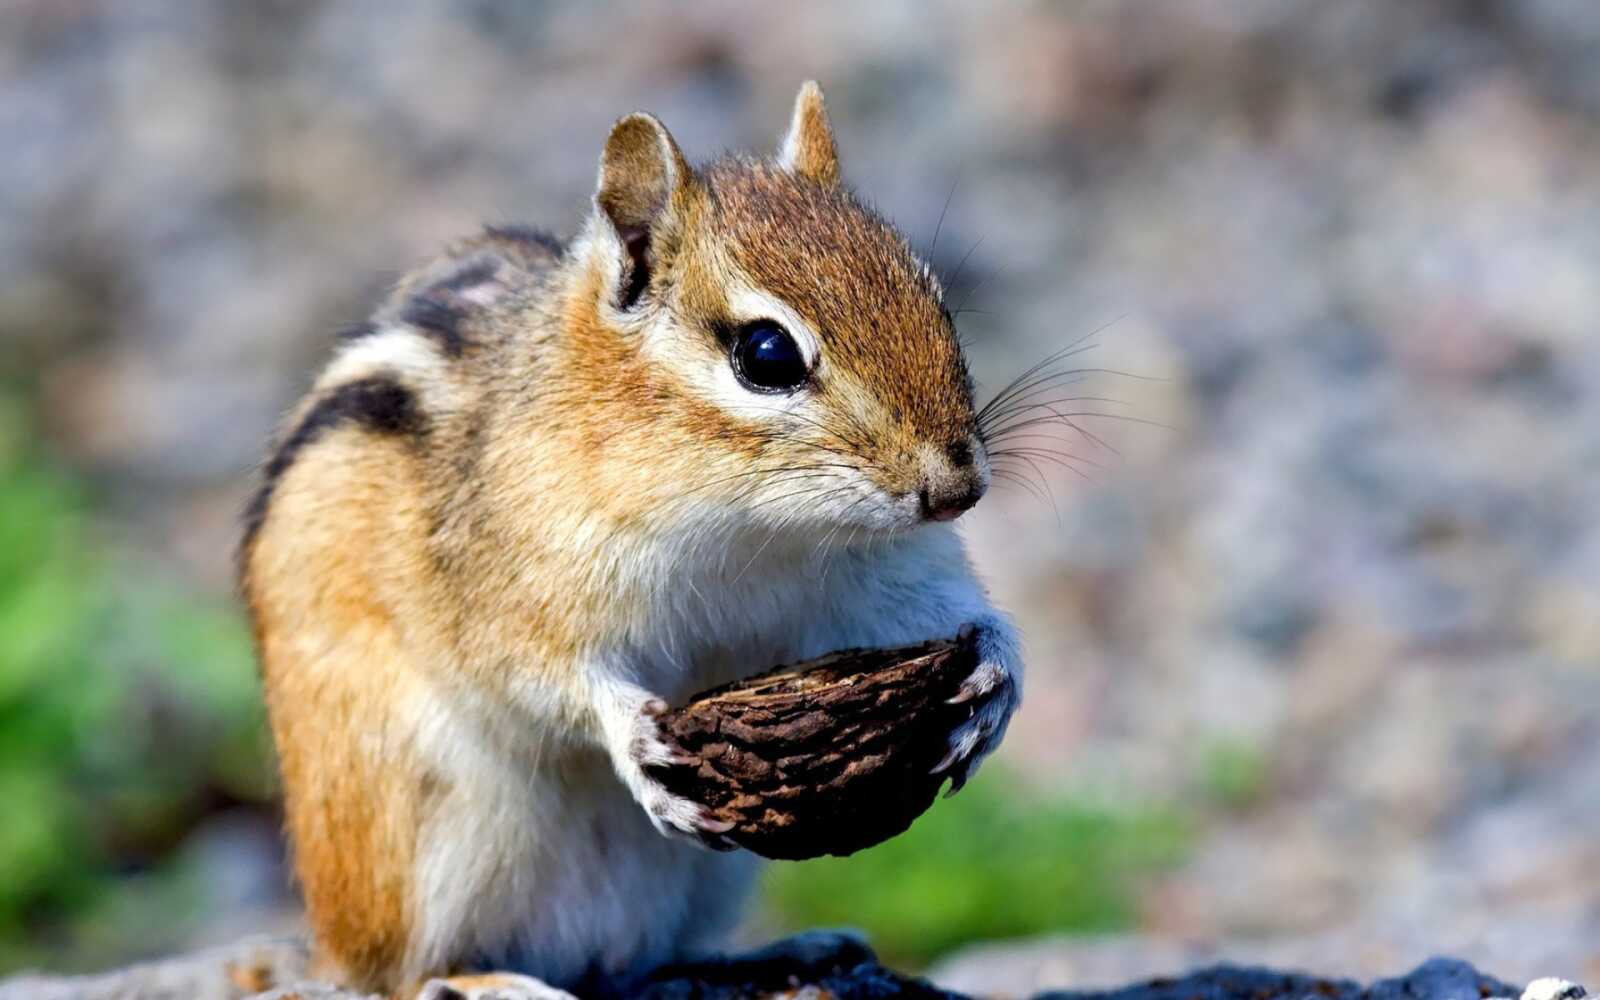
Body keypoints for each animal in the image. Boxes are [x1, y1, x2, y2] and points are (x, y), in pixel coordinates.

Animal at [239, 82, 1023, 999]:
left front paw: (997, 678)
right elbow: (537, 671)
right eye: (766, 354)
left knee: (648, 961)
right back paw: (499, 982)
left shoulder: (885, 575)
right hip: (420, 835)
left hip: (712, 875)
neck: (757, 527)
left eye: (931, 294)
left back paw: (781, 950)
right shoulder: (517, 578)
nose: (957, 490)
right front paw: (633, 739)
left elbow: (958, 614)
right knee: (402, 975)